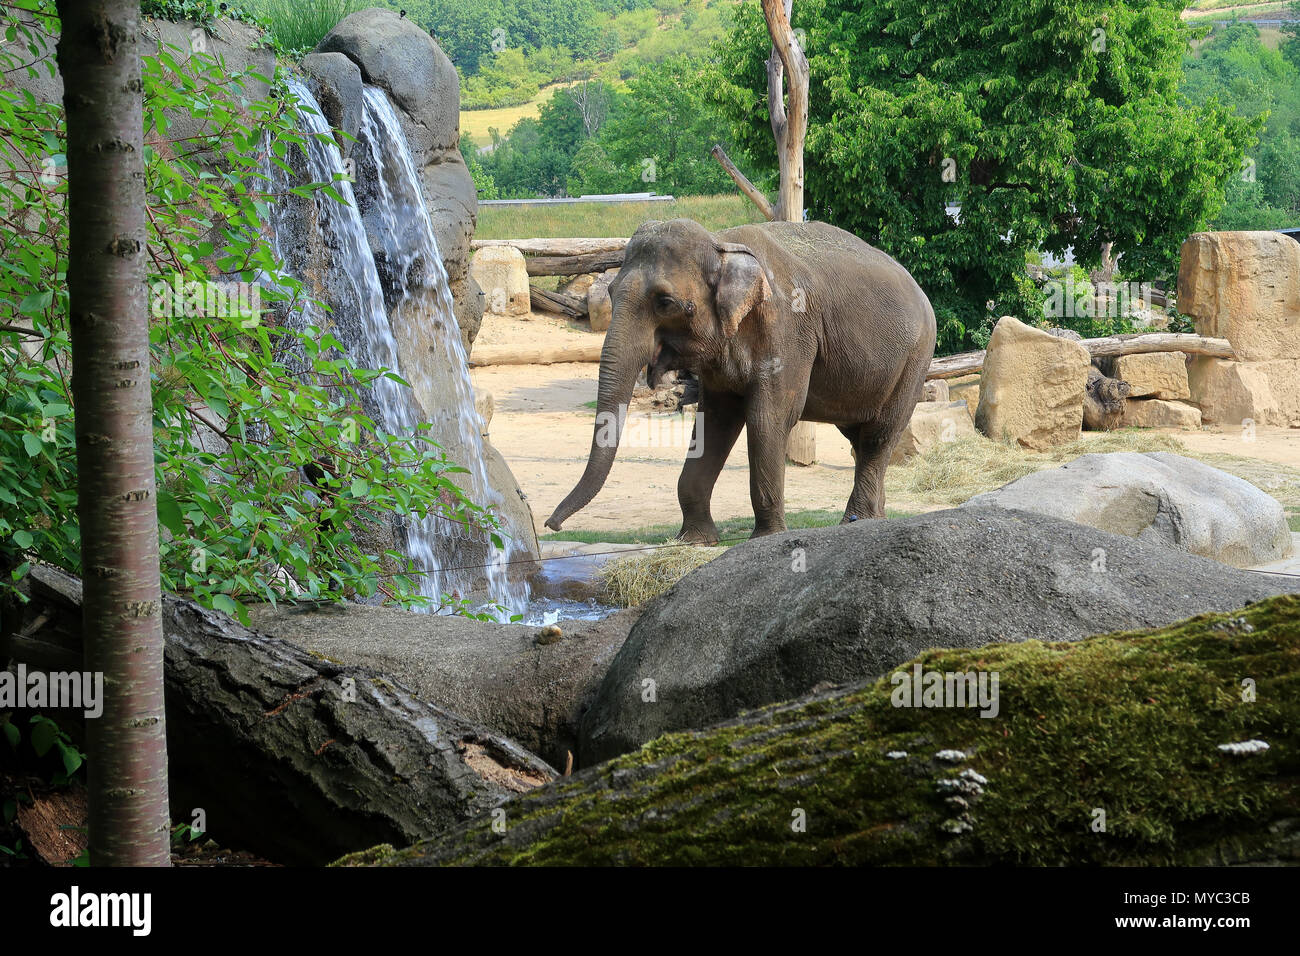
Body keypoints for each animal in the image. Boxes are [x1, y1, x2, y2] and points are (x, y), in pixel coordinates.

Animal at [544, 218, 937, 544]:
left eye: (666, 302)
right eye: (610, 294)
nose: (551, 524)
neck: (721, 243)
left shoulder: (788, 331)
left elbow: (769, 418)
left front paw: (766, 538)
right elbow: (714, 422)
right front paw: (694, 541)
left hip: (915, 358)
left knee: (879, 435)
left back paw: (856, 523)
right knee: (859, 436)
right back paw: (876, 521)